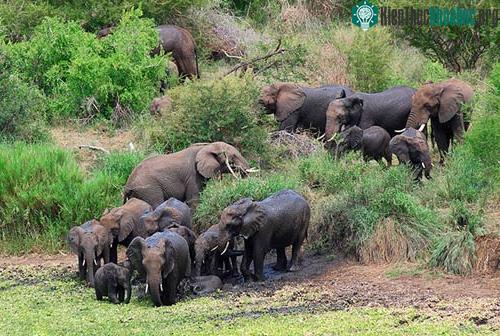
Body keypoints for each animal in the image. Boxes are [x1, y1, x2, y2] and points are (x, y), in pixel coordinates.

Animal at [123, 142, 252, 210]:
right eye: (233, 157)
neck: (206, 146)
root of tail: (128, 185)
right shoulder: (192, 175)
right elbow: (193, 200)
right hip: (149, 189)